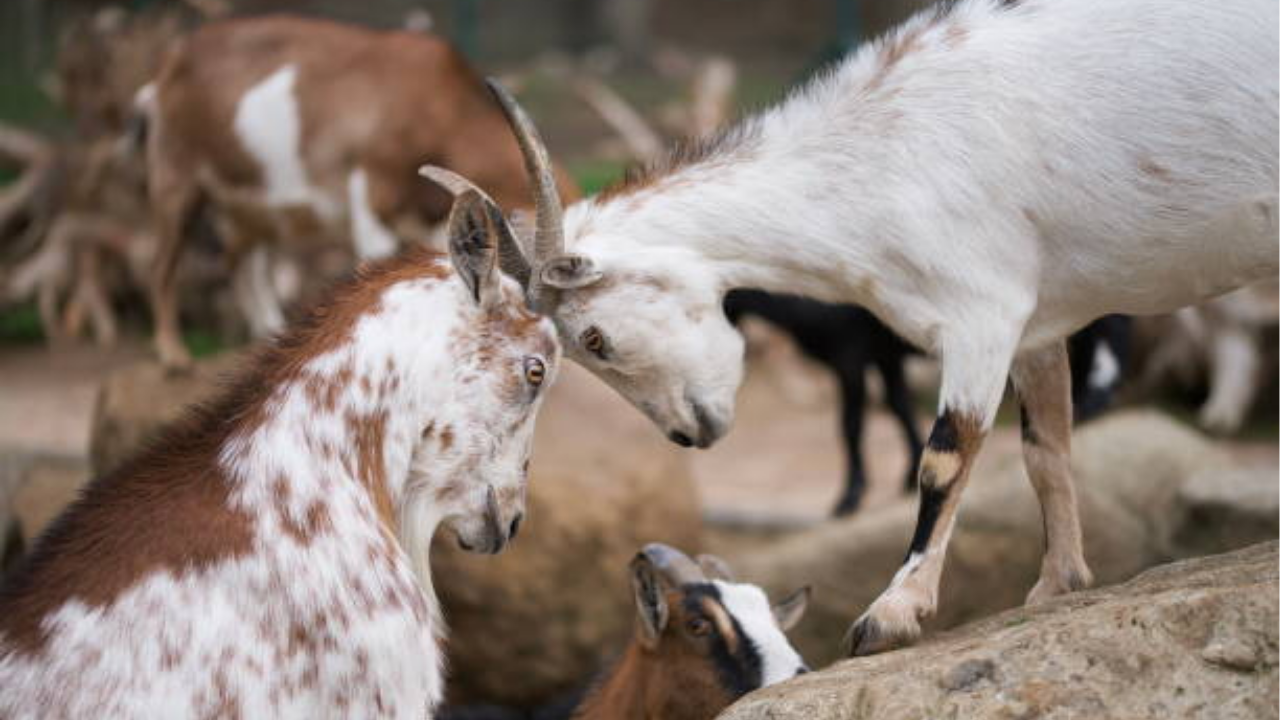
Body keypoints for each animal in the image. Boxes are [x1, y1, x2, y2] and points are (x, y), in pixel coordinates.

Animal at [139, 15, 579, 369]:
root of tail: (171, 61)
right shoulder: (372, 191)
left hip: (249, 206)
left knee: (240, 259)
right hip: (176, 176)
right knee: (163, 261)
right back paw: (174, 356)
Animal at [478, 0, 1278, 656]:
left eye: (592, 339)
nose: (687, 434)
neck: (878, 157)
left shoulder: (981, 313)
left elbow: (944, 457)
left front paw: (890, 615)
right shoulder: (1034, 326)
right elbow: (1044, 450)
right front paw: (1057, 585)